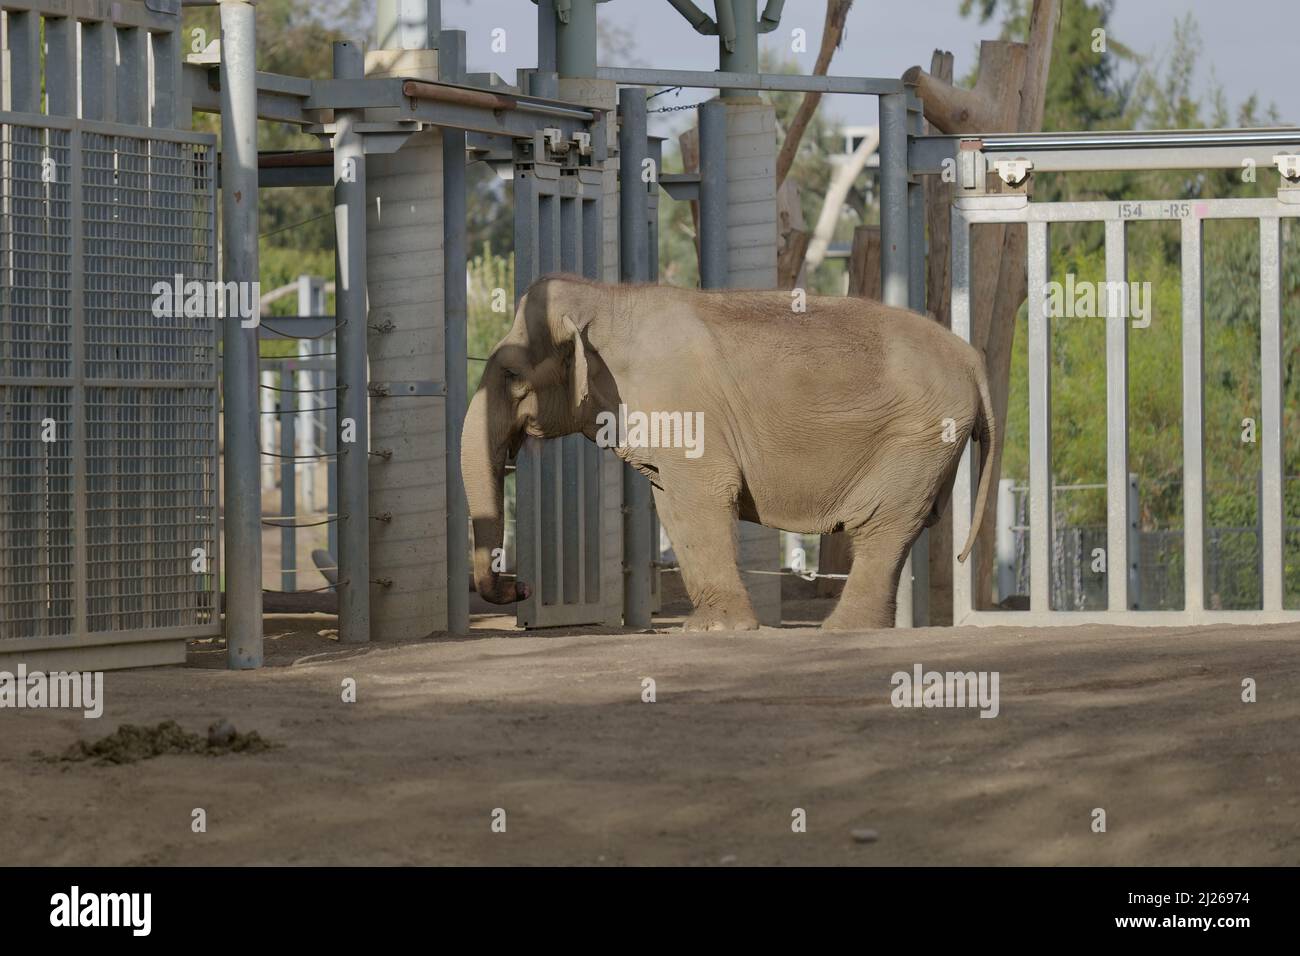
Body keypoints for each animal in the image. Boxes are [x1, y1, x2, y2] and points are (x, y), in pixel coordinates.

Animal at [462, 273, 998, 631]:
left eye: (511, 376)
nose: (521, 586)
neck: (608, 298)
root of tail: (974, 361)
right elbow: (672, 503)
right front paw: (713, 626)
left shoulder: (681, 404)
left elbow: (700, 497)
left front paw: (716, 630)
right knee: (896, 527)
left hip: (917, 435)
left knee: (880, 525)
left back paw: (841, 630)